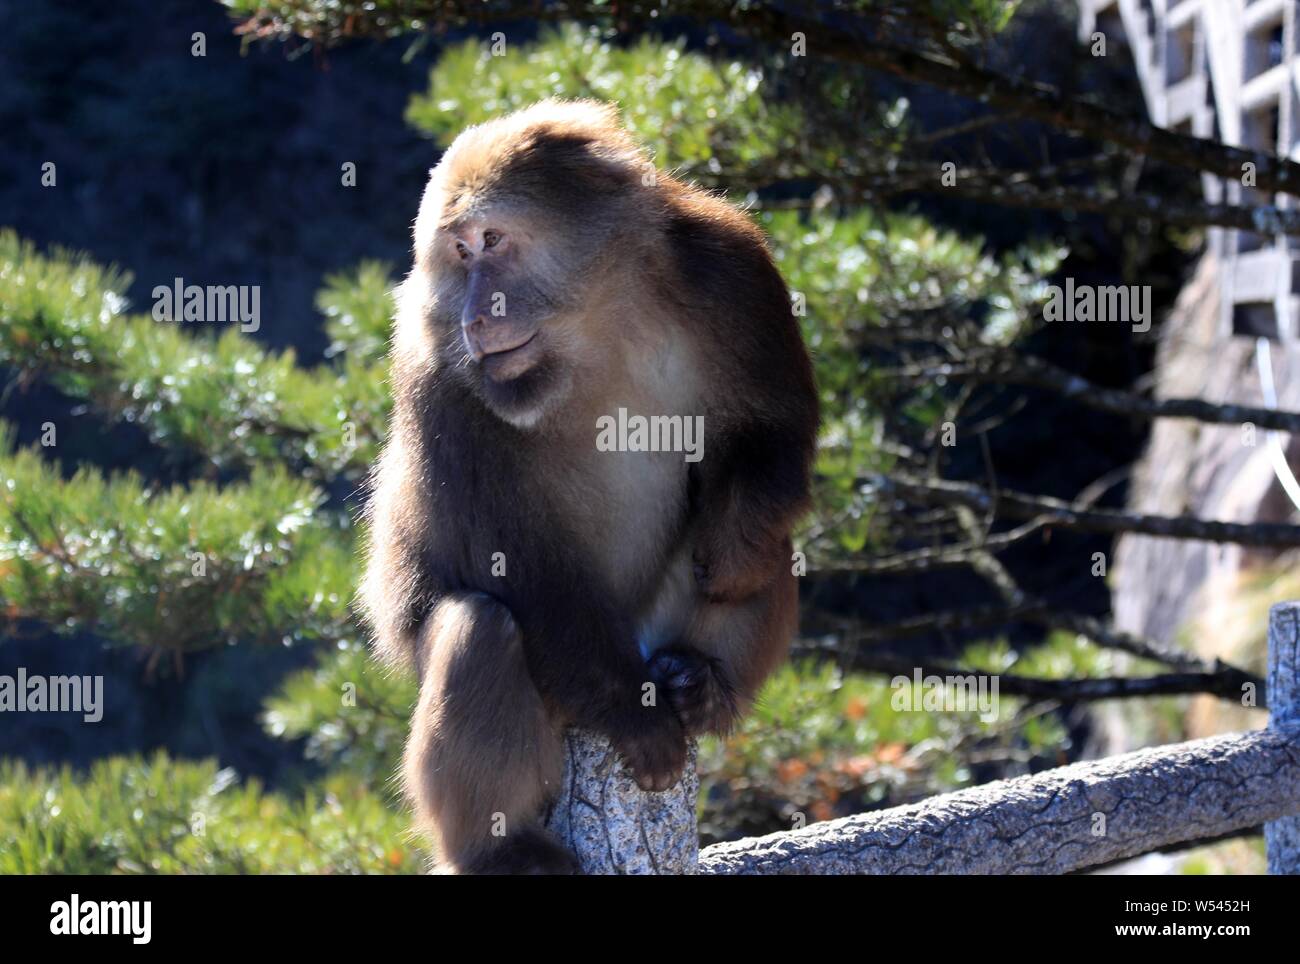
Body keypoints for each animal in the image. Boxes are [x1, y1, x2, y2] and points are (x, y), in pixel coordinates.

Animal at [360, 99, 819, 874]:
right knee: (483, 628)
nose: (475, 316)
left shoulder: (731, 267)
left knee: (767, 542)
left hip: (653, 628)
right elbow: (517, 564)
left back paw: (705, 681)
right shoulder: (438, 378)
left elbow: (773, 427)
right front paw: (635, 720)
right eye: (459, 253)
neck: (593, 324)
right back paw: (497, 846)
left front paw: (731, 548)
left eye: (492, 240)